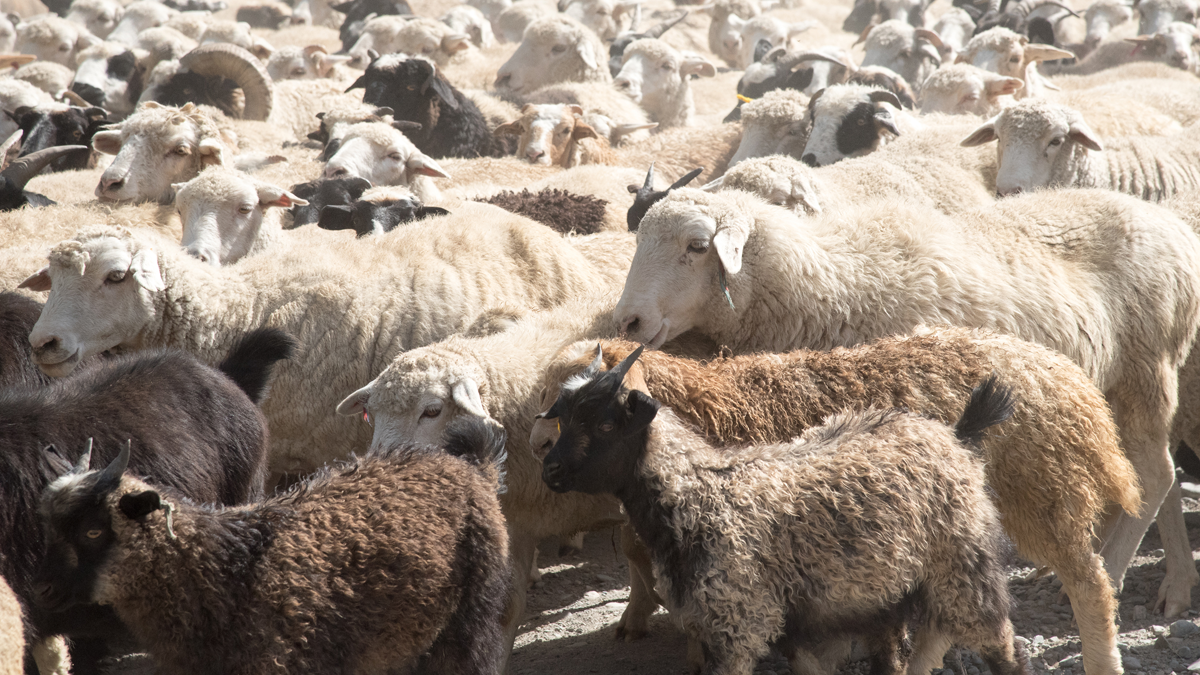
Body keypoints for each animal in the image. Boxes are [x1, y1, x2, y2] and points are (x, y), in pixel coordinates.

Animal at [36, 417, 510, 675]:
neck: (226, 570)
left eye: (93, 531)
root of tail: (470, 468)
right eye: (50, 526)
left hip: (470, 614)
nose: (43, 592)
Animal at [532, 328, 1140, 673]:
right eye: (558, 407)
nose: (546, 463)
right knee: (940, 626)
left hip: (1029, 513)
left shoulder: (742, 616)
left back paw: (1103, 662)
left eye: (600, 421)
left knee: (1084, 589)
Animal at [611, 186, 1200, 618]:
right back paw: (1172, 585)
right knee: (1149, 477)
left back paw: (1113, 572)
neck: (828, 279)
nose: (628, 322)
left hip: (1145, 369)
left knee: (1157, 475)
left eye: (696, 246)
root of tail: (1168, 221)